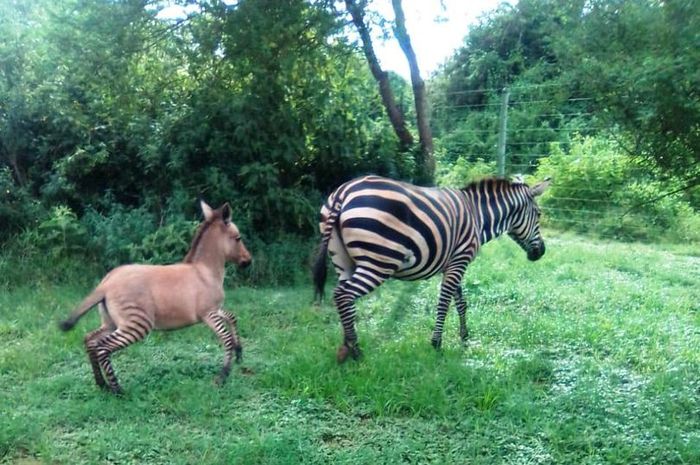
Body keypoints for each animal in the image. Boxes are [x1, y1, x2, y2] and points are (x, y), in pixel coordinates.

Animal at [313, 175, 551, 362]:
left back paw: (346, 346)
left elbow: (461, 302)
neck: (478, 216)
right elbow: (444, 302)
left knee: (343, 299)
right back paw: (356, 351)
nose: (541, 252)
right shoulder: (459, 260)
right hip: (378, 262)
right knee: (344, 295)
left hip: (343, 261)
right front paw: (437, 343)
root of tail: (343, 191)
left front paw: (465, 337)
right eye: (539, 215)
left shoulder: (453, 263)